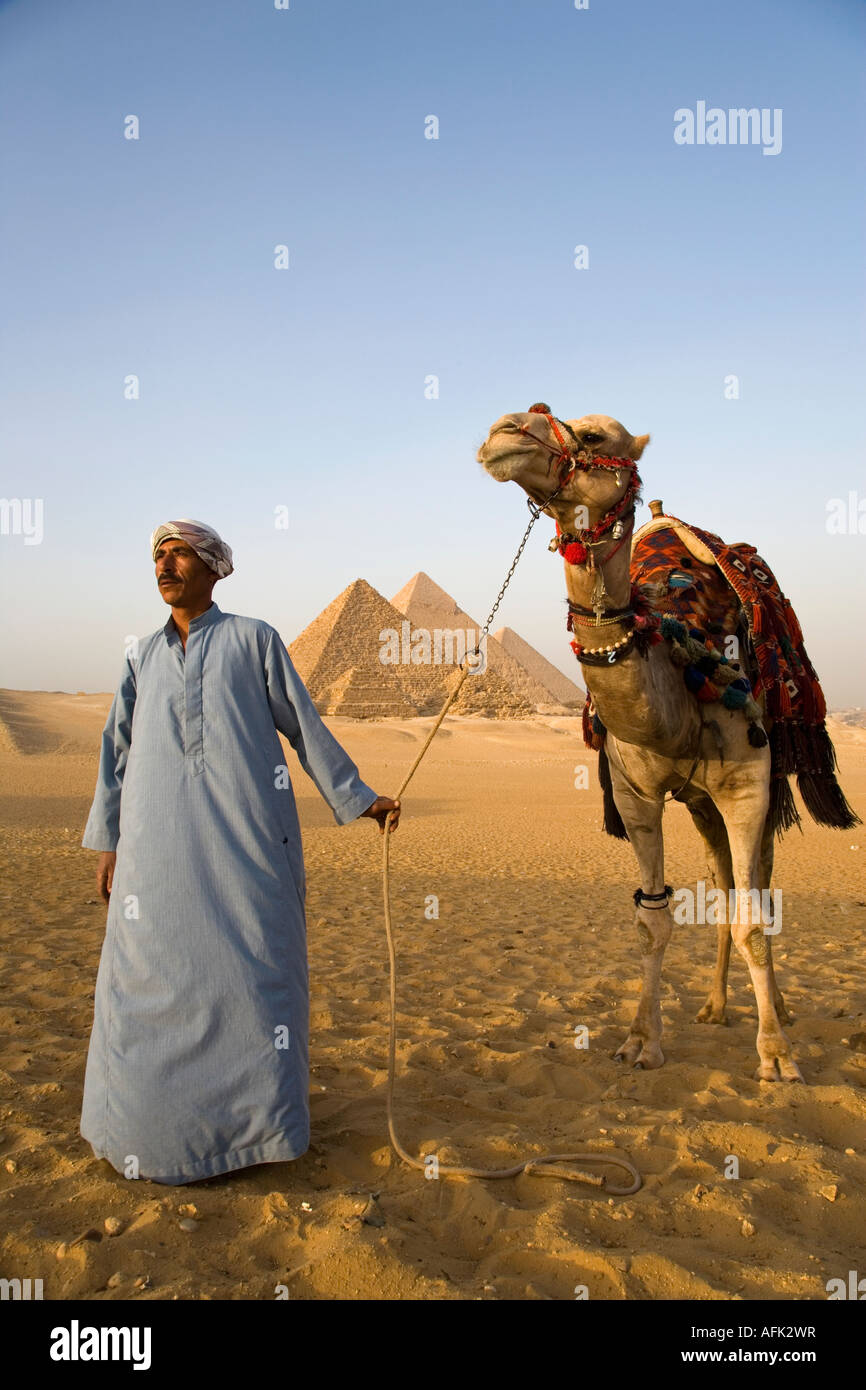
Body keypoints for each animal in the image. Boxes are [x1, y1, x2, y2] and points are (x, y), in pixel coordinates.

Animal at [477, 406, 858, 1083]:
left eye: (595, 435)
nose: (505, 431)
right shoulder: (635, 794)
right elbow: (653, 920)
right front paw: (639, 1041)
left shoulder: (746, 785)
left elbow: (754, 917)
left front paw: (776, 1056)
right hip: (700, 804)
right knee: (724, 882)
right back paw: (713, 1006)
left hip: (763, 783)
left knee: (757, 884)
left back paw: (779, 1011)